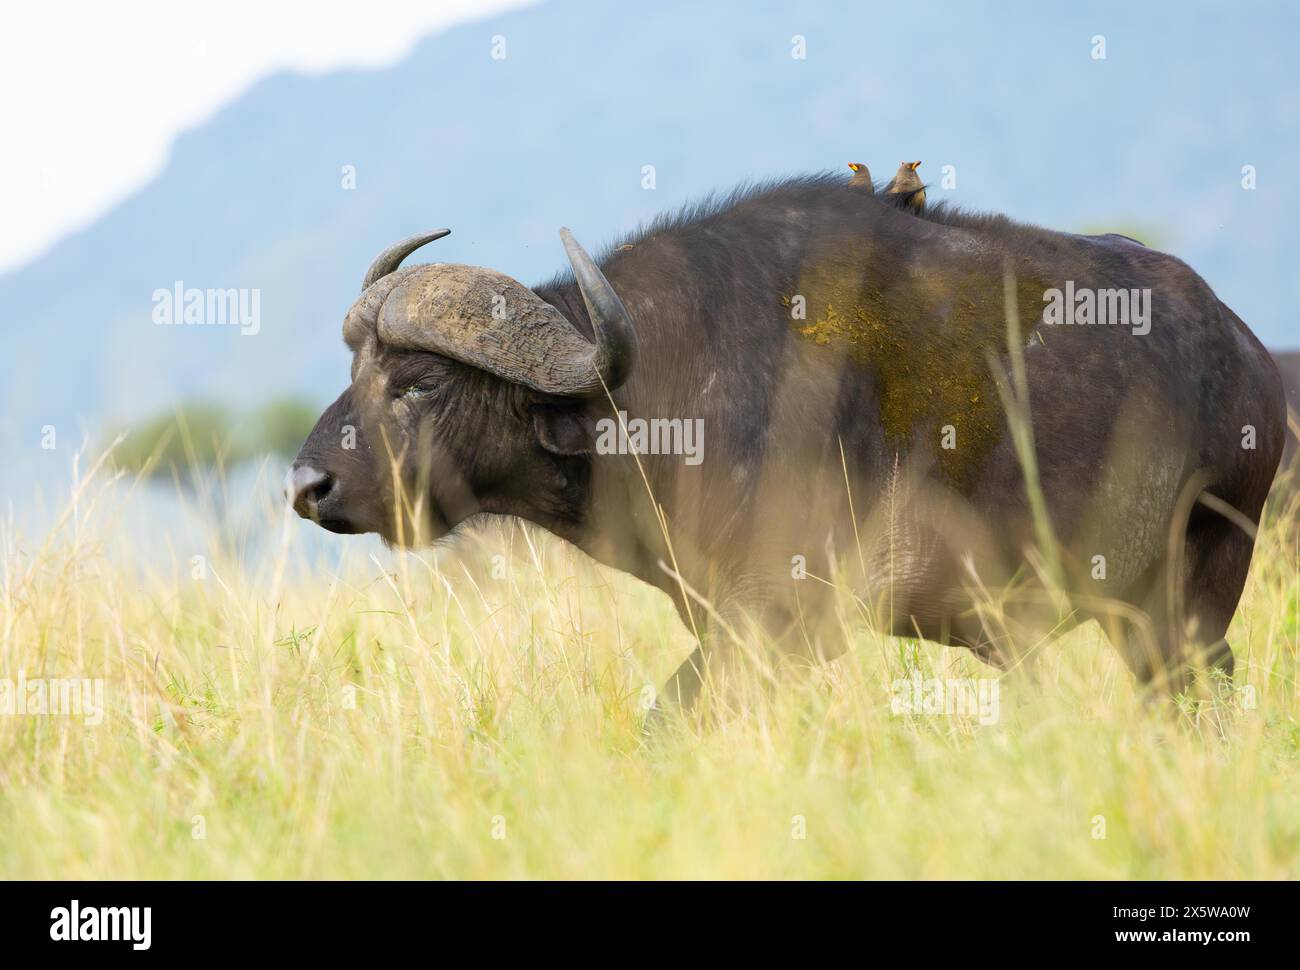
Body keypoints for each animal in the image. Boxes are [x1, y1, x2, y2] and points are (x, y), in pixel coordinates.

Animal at [289, 174, 1285, 716]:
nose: (306, 483)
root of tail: (1250, 361)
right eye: (356, 362)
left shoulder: (776, 615)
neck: (651, 396)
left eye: (419, 382)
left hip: (1196, 588)